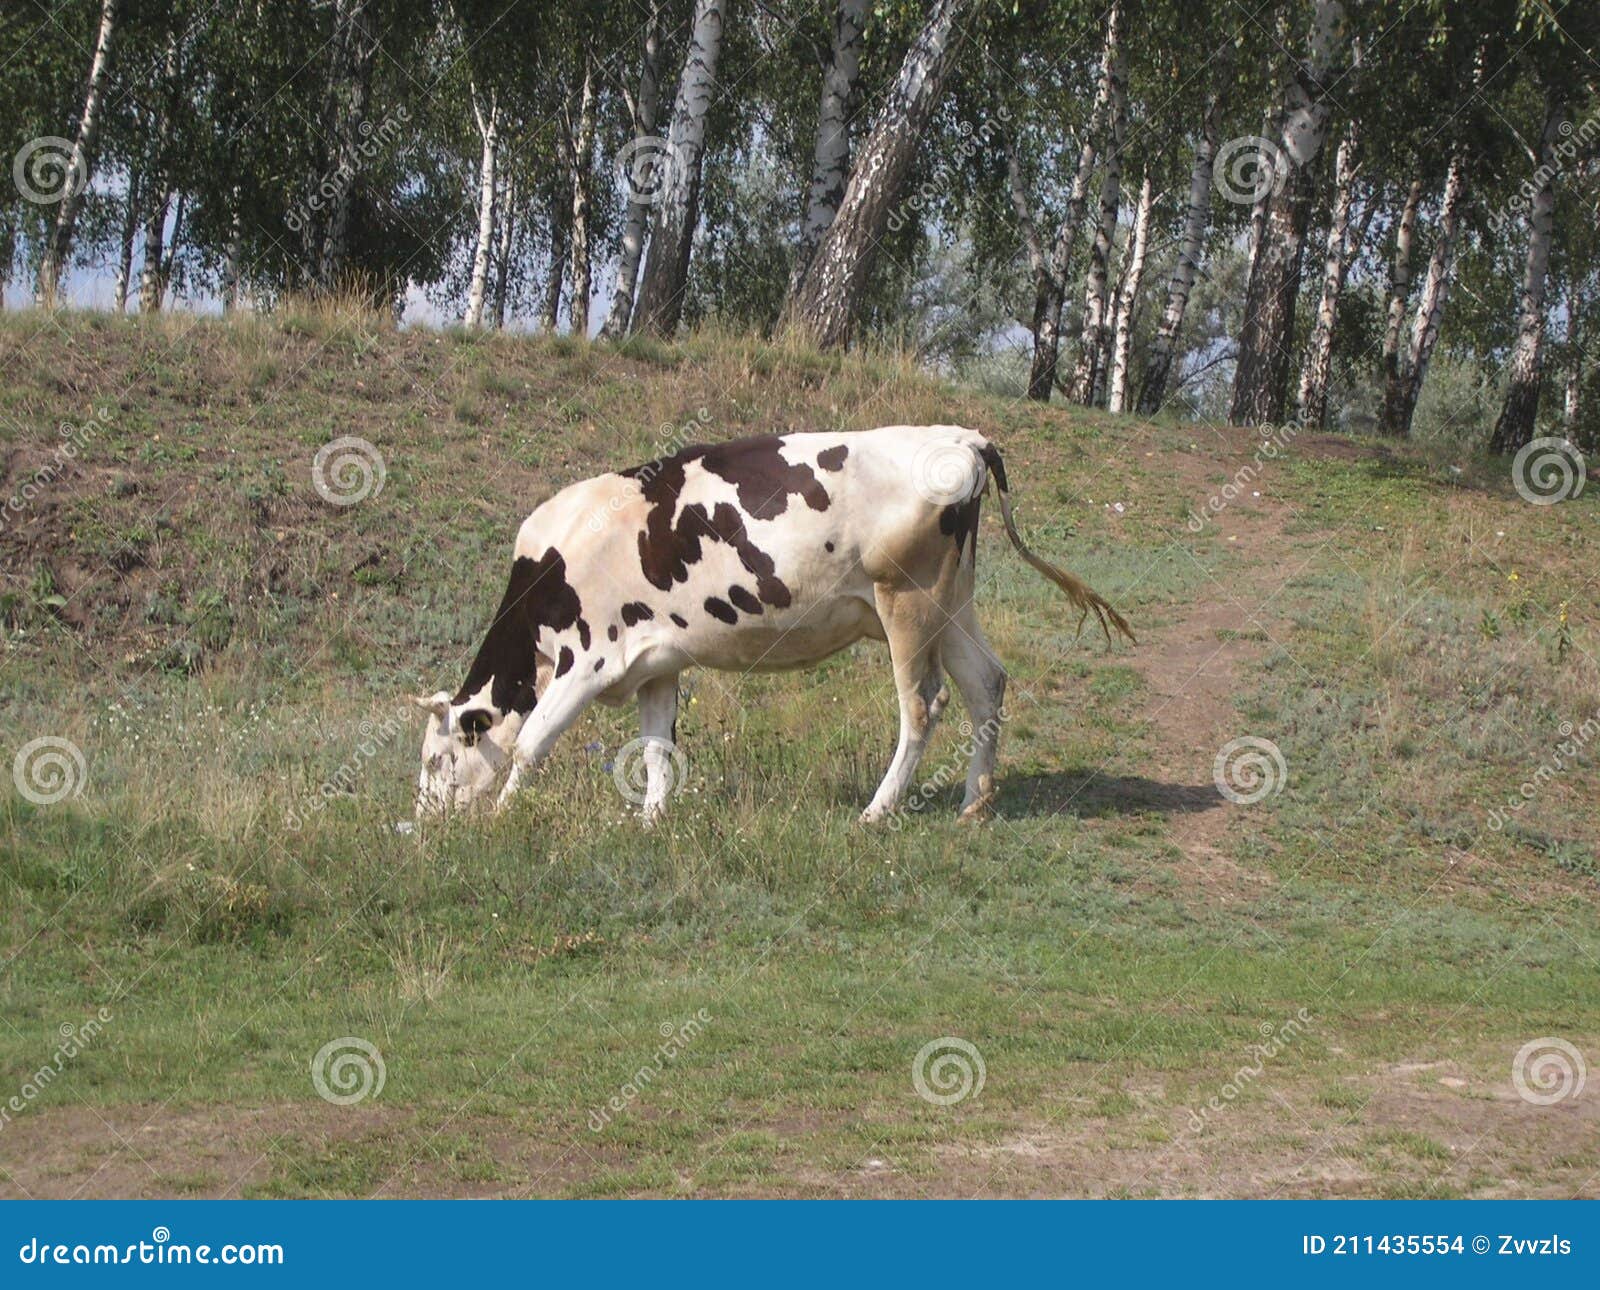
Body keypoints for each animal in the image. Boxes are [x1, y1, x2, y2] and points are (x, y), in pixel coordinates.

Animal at [415, 425, 1133, 825]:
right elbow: (655, 748)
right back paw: (972, 806)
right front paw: (651, 820)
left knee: (923, 705)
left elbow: (529, 743)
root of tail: (964, 436)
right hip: (950, 604)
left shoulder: (588, 660)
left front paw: (502, 819)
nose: (424, 823)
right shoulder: (657, 664)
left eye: (435, 759)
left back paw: (877, 813)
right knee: (987, 683)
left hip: (908, 599)